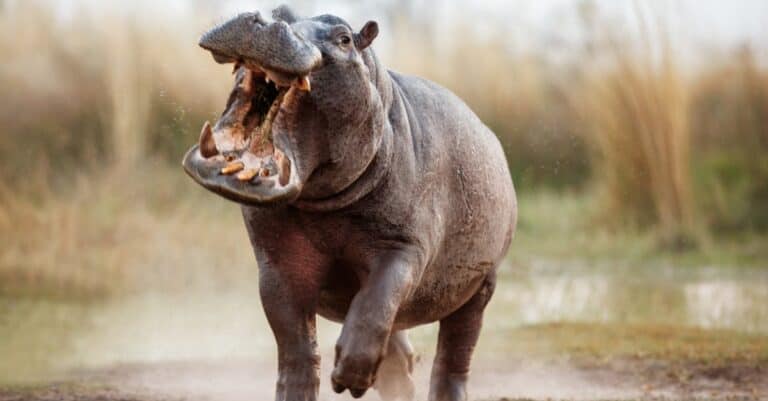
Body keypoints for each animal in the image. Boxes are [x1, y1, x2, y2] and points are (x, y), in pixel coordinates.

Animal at [182, 5, 517, 401]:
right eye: (281, 11)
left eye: (344, 38)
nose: (263, 20)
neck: (324, 205)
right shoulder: (277, 263)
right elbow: (295, 343)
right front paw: (306, 388)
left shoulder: (404, 246)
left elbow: (378, 299)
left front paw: (350, 378)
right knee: (397, 348)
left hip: (481, 285)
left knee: (454, 353)